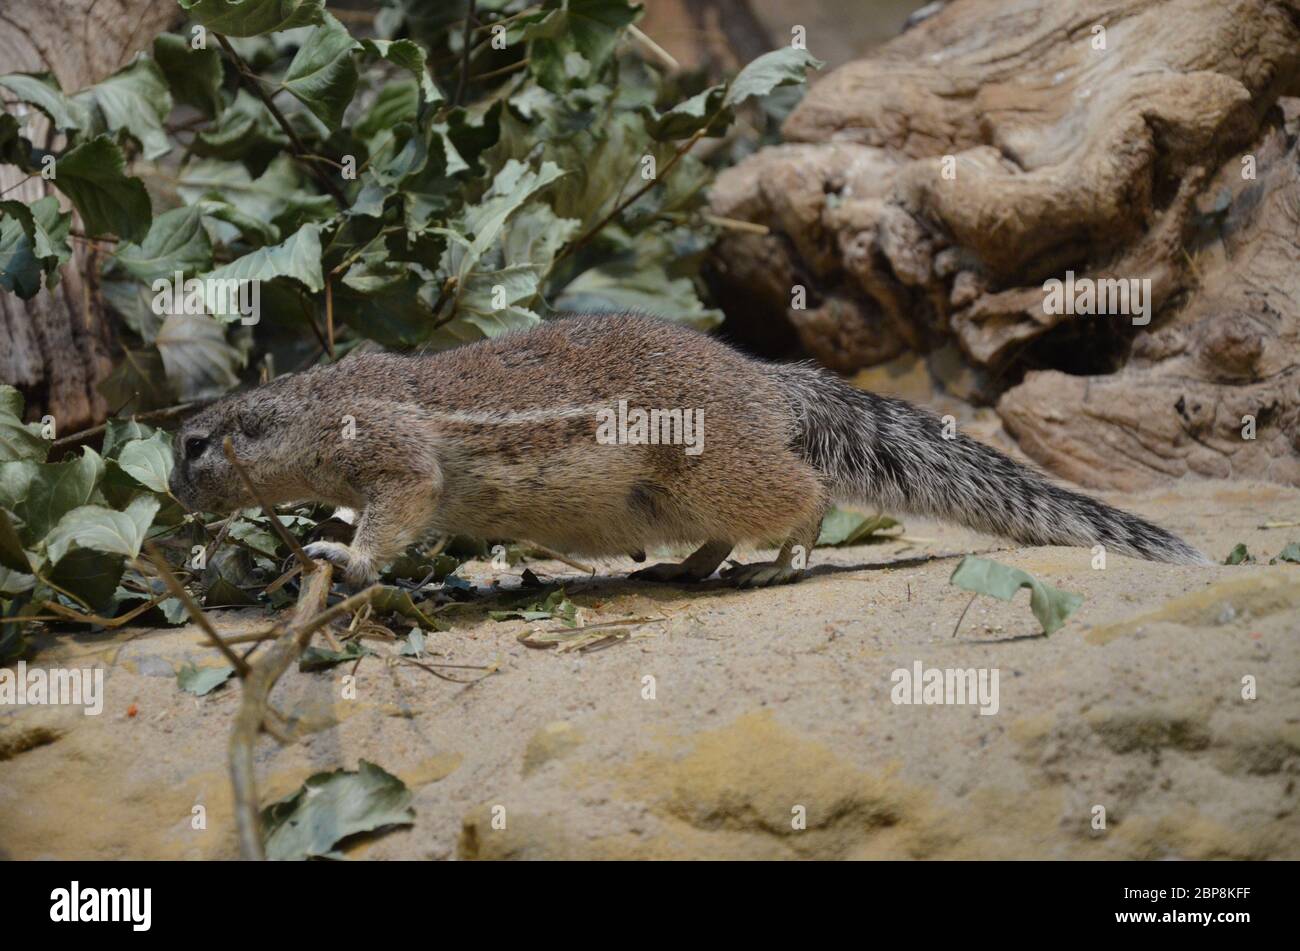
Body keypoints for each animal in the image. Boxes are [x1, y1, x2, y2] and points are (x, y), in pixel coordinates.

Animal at [169, 313, 1210, 587]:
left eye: (192, 445)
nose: (175, 497)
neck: (317, 403)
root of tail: (768, 381)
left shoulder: (394, 452)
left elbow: (399, 508)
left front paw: (338, 554)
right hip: (674, 497)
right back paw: (688, 568)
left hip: (723, 471)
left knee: (802, 494)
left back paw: (782, 557)